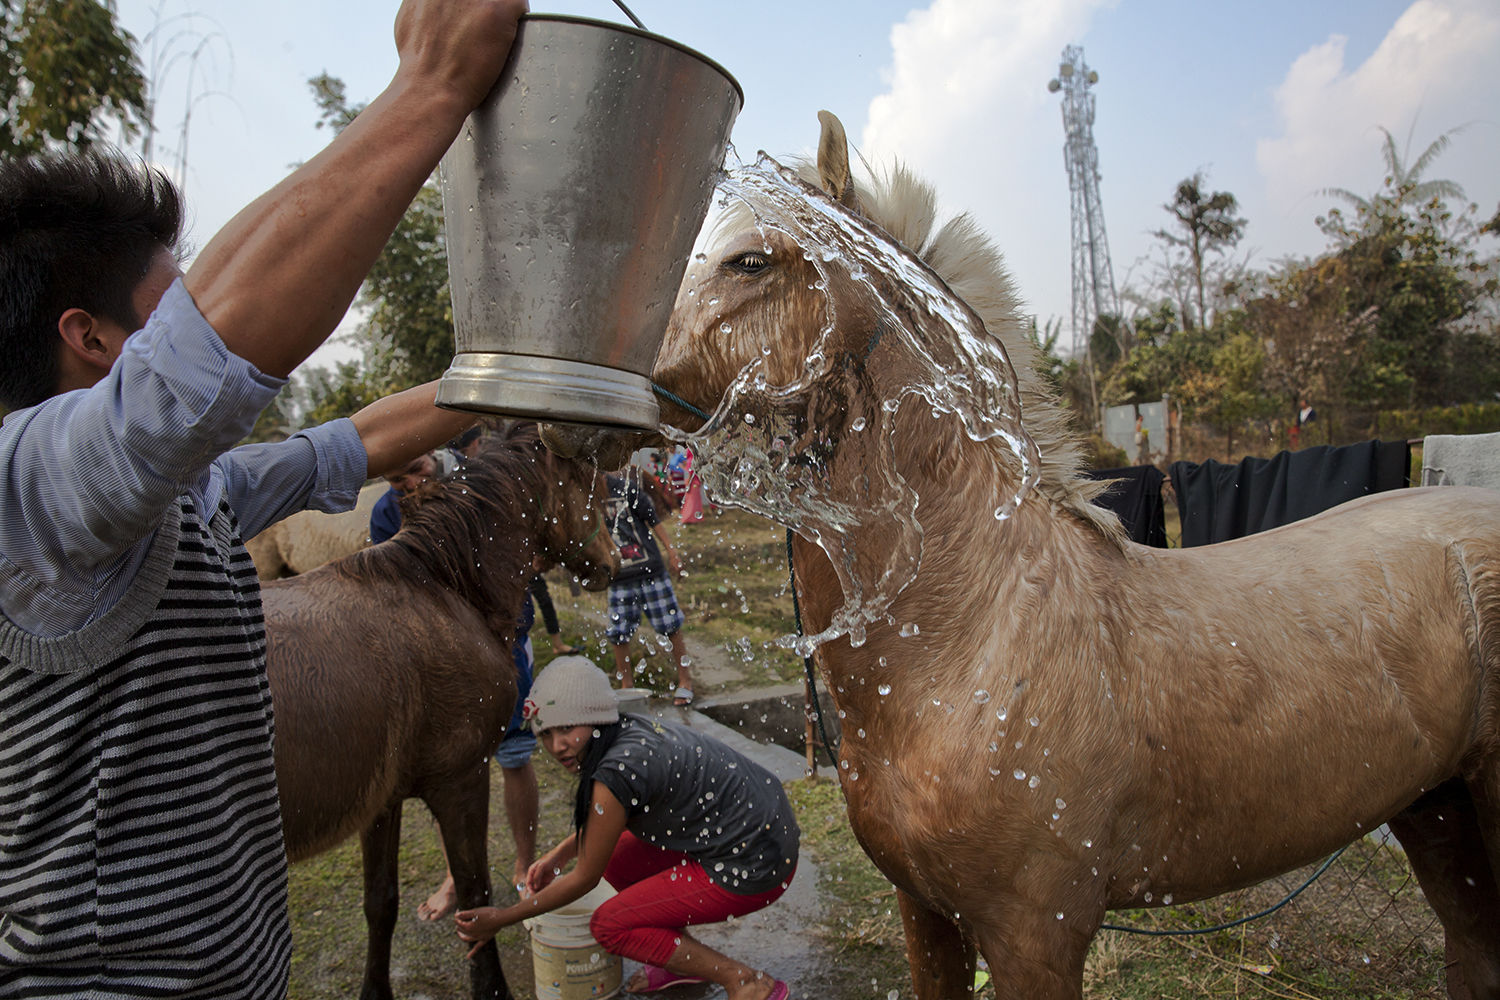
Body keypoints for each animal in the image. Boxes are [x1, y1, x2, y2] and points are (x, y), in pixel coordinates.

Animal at [262, 423, 619, 1000]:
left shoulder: (381, 803)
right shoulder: (461, 781)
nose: (614, 564)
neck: (439, 588)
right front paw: (491, 987)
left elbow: (380, 903)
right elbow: (475, 896)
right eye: (592, 485)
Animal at [543, 114, 1500, 1000]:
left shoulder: (1035, 934)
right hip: (1438, 816)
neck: (974, 638)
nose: (570, 415)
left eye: (749, 262)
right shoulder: (926, 913)